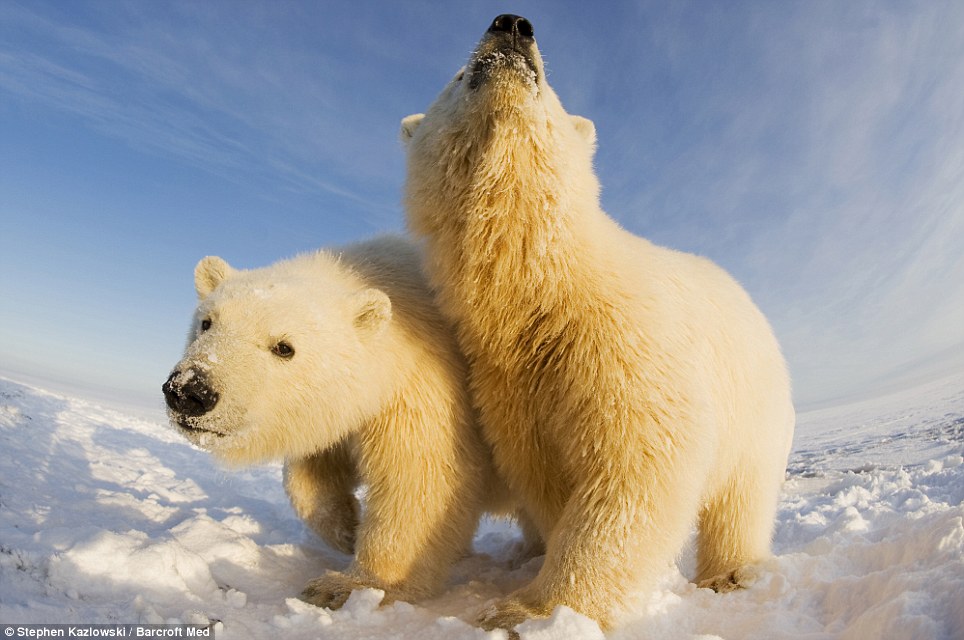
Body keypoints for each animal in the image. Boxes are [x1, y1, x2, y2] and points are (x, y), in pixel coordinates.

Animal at [162, 234, 519, 609]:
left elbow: (419, 480)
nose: (190, 390)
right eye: (207, 322)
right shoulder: (342, 408)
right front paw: (347, 529)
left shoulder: (428, 387)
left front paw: (345, 586)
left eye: (284, 347)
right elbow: (314, 470)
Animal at [400, 14, 796, 633]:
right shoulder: (511, 389)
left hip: (755, 406)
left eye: (552, 86)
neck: (543, 295)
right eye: (459, 75)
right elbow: (547, 478)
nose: (511, 24)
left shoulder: (627, 348)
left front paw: (526, 610)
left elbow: (636, 467)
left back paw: (730, 572)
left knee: (743, 496)